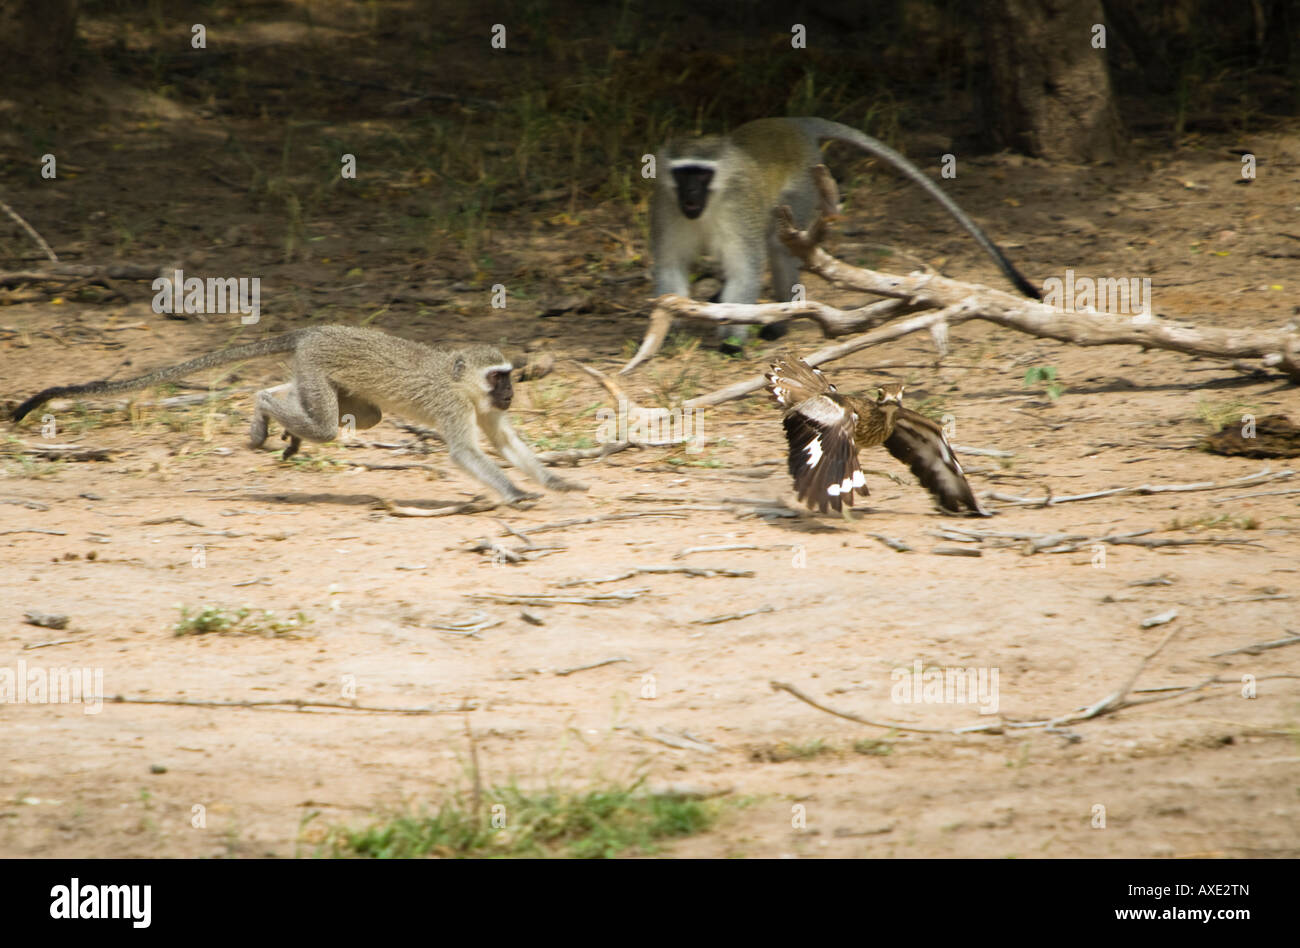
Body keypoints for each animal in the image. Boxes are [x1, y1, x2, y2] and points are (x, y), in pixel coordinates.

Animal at [11, 325, 587, 504]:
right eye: (498, 376)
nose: (510, 393)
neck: (460, 381)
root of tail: (312, 331)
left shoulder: (482, 410)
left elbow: (507, 445)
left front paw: (555, 482)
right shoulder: (453, 406)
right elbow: (467, 453)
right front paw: (515, 494)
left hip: (324, 377)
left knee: (361, 416)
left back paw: (274, 407)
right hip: (316, 366)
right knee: (329, 427)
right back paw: (266, 407)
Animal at [651, 117, 1039, 352]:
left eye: (702, 175)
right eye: (683, 174)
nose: (690, 195)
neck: (711, 202)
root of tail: (789, 122)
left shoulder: (738, 208)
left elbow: (745, 271)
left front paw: (731, 342)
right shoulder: (667, 207)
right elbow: (670, 267)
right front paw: (668, 331)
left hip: (803, 187)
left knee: (779, 248)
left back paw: (779, 324)